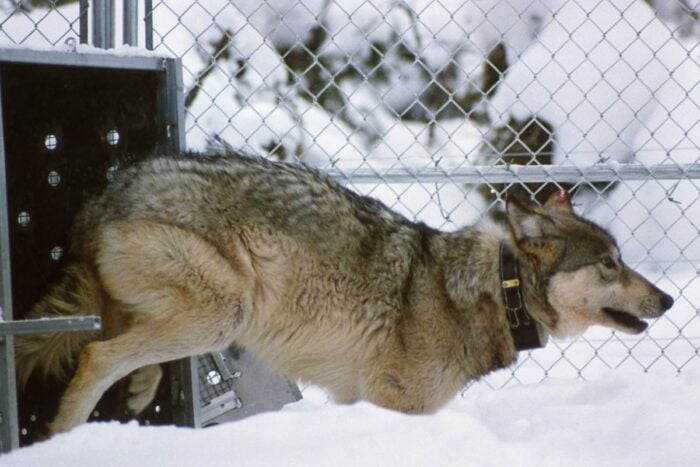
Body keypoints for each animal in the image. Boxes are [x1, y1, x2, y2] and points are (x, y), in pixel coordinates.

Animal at [14, 152, 673, 436]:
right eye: (611, 263)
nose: (667, 300)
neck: (493, 291)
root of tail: (106, 195)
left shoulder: (360, 397)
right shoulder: (398, 403)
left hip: (201, 314)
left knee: (120, 346)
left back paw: (138, 391)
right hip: (223, 313)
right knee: (95, 354)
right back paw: (64, 440)